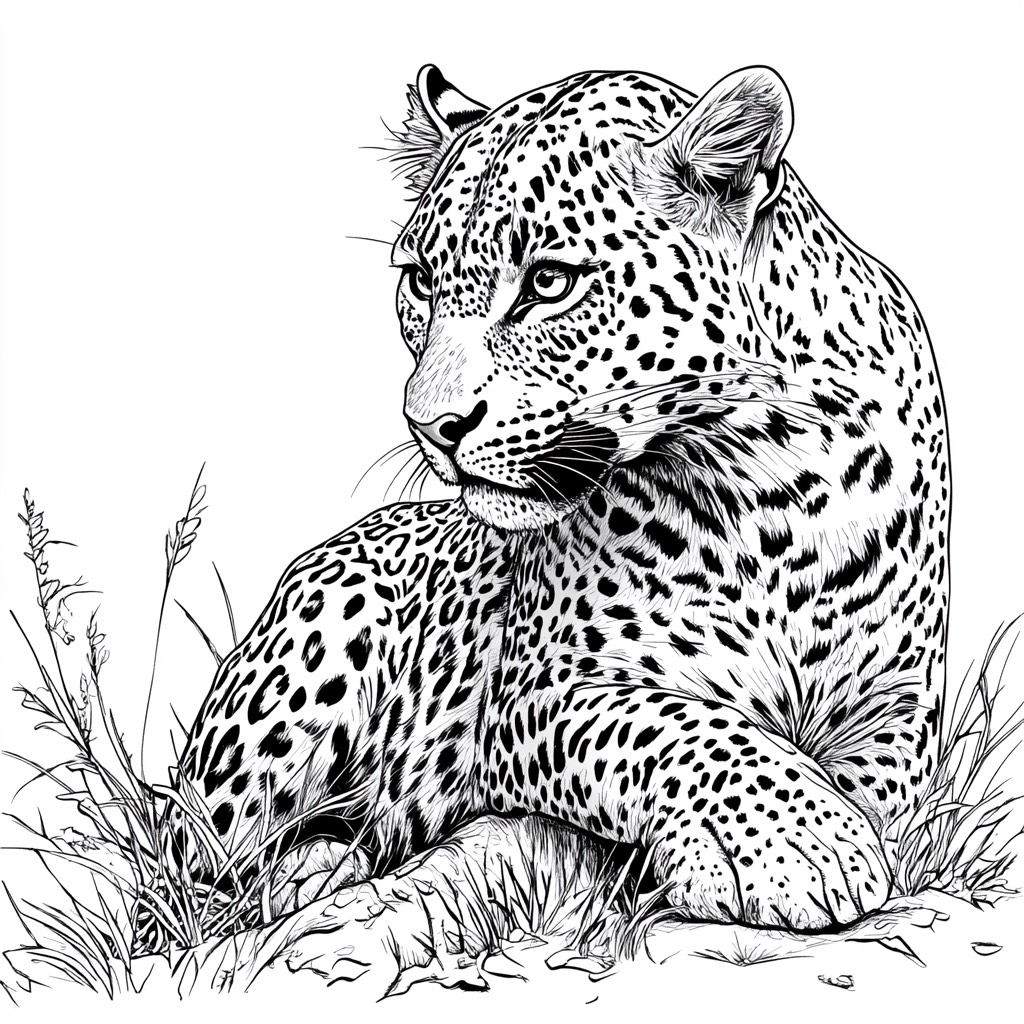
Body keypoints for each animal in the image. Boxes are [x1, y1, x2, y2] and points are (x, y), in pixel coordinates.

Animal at [177, 64, 948, 932]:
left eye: (549, 283)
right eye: (420, 282)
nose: (430, 425)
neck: (772, 480)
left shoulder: (898, 704)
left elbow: (875, 787)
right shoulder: (536, 693)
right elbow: (678, 725)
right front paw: (798, 845)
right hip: (314, 655)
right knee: (192, 863)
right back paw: (310, 871)